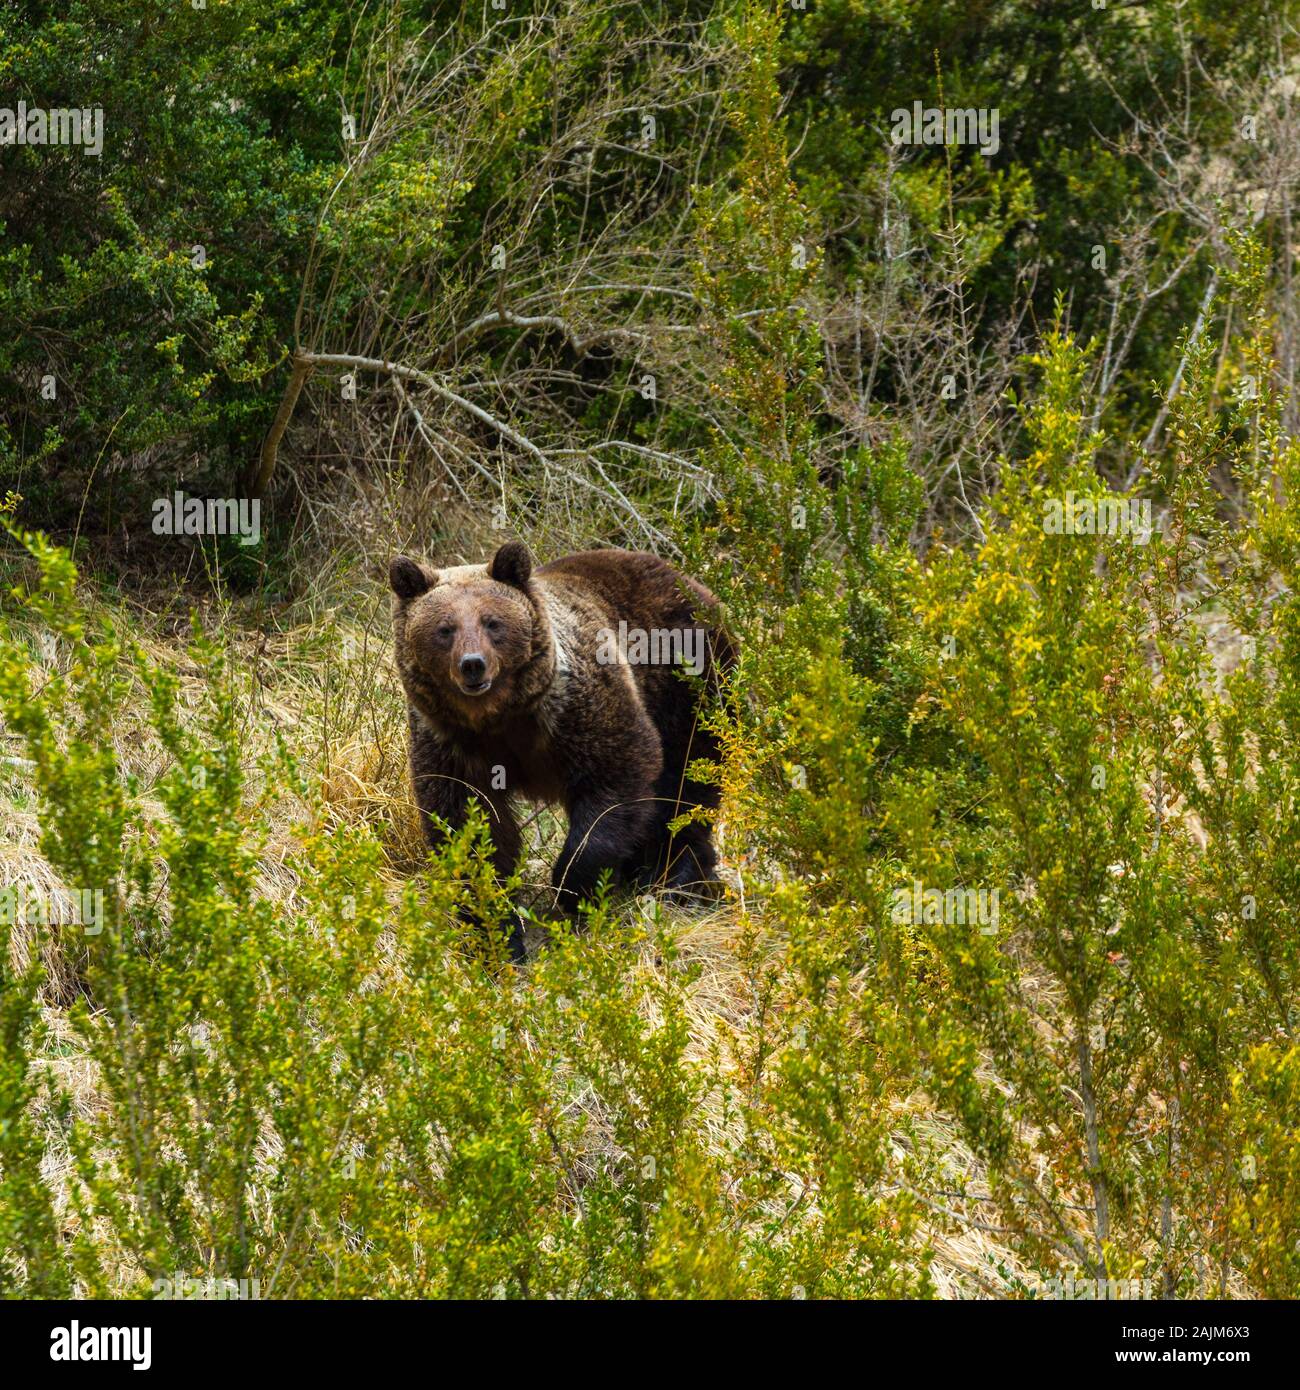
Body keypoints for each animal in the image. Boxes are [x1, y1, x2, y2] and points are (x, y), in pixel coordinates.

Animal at [389, 540, 735, 957]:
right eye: (445, 628)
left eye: (492, 622)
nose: (473, 665)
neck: (499, 717)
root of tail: (690, 580)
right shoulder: (452, 742)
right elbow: (470, 824)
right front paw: (497, 932)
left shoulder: (577, 710)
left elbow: (616, 776)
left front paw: (573, 887)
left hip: (689, 680)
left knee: (688, 777)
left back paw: (676, 876)